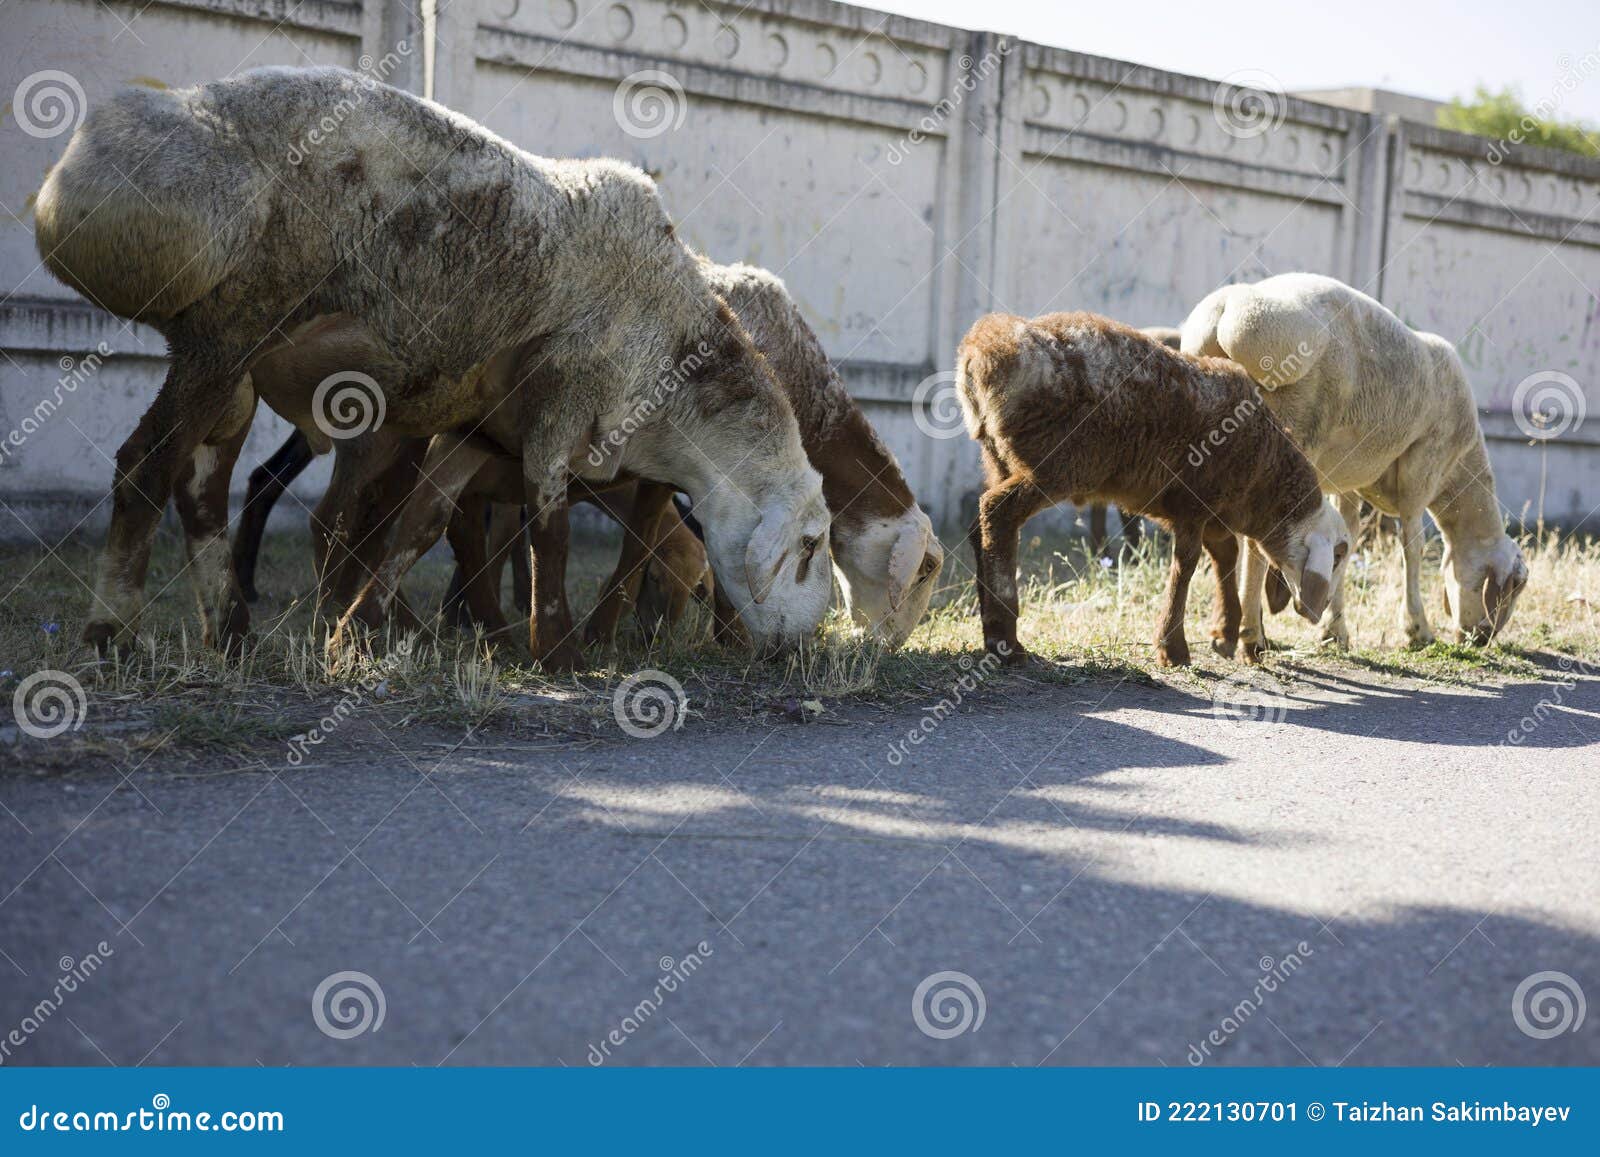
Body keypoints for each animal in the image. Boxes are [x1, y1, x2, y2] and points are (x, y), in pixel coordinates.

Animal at [34, 66, 832, 668]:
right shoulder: (561, 404)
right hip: (226, 330)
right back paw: (111, 636)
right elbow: (548, 534)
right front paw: (559, 653)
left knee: (200, 489)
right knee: (144, 465)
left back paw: (231, 635)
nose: (801, 648)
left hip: (228, 367)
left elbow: (423, 527)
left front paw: (361, 632)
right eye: (811, 545)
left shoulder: (482, 429)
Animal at [956, 311, 1351, 666]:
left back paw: (992, 631)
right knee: (998, 513)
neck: (1265, 469)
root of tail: (984, 349)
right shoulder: (1194, 500)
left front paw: (1224, 631)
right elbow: (1187, 564)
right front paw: (1173, 648)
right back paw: (1006, 641)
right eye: (1337, 557)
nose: (1315, 611)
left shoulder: (1207, 510)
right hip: (1054, 465)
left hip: (998, 459)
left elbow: (1224, 554)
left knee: (982, 526)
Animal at [1180, 272, 1528, 652]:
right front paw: (1416, 629)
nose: (1483, 639)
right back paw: (1251, 635)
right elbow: (1413, 543)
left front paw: (1335, 630)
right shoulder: (1424, 463)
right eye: (1515, 587)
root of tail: (1228, 313)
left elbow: (1349, 535)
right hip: (1295, 429)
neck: (1459, 471)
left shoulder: (1345, 478)